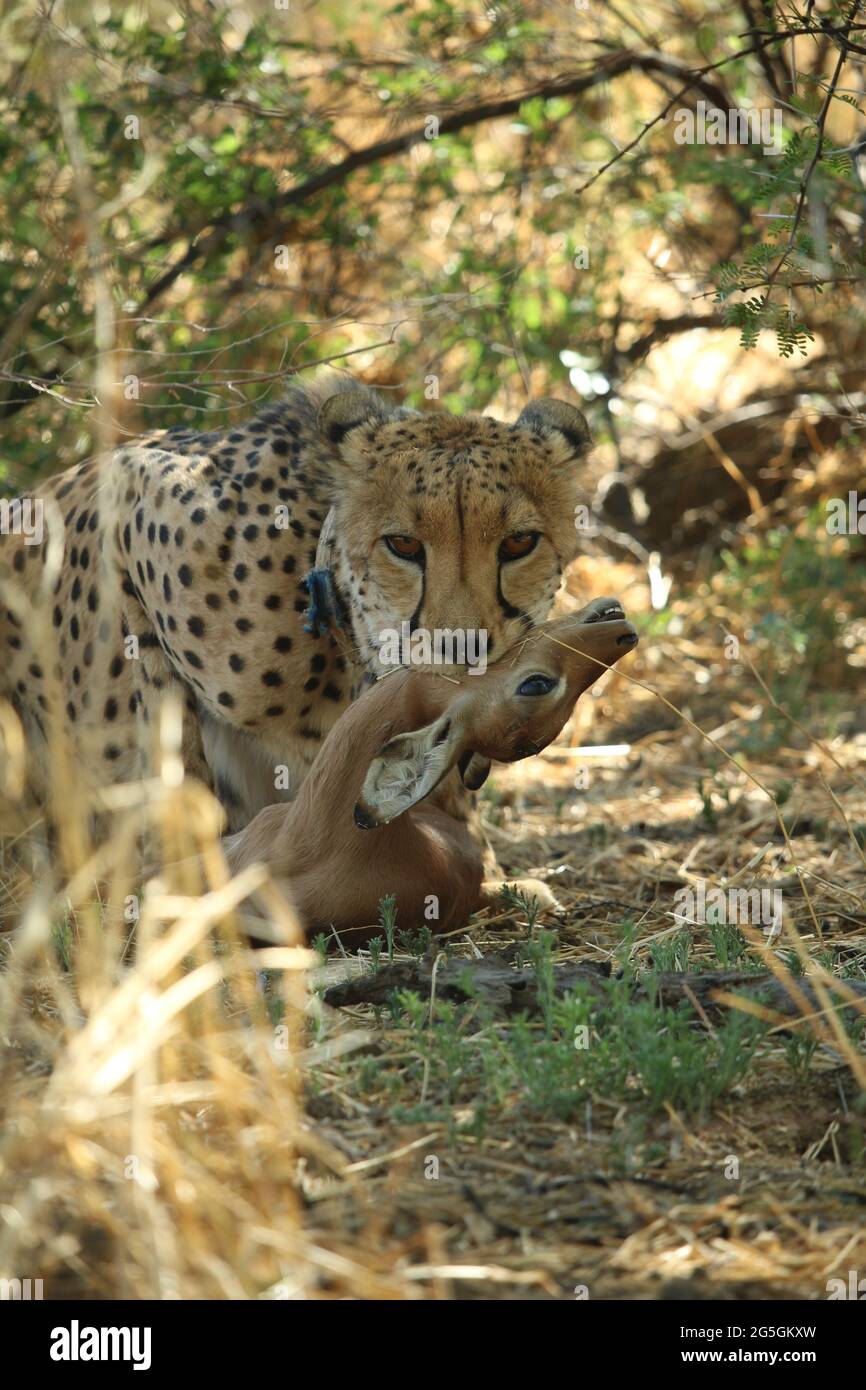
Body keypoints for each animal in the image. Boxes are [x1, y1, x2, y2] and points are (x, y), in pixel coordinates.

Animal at [0, 374, 595, 908]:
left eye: (519, 543)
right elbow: (169, 729)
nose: (462, 647)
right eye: (402, 545)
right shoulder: (128, 491)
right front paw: (184, 872)